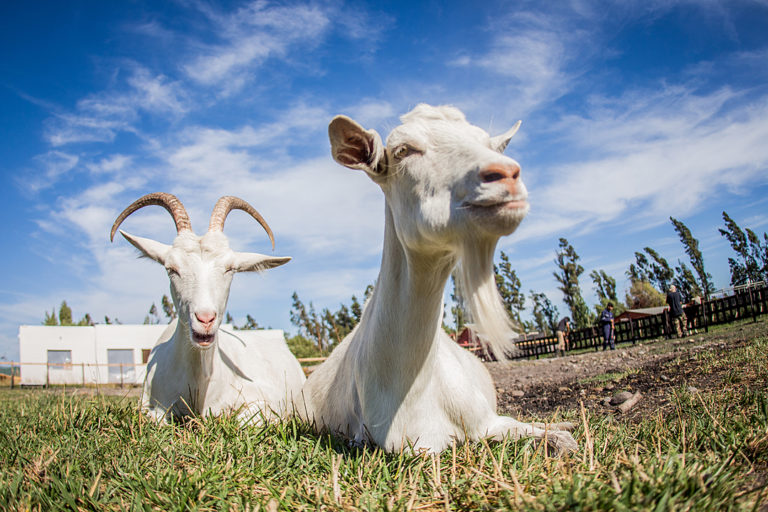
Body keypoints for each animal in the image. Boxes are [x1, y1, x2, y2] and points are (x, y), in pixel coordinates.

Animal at [300, 105, 577, 454]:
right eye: (404, 150)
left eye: (488, 142)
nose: (506, 174)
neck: (414, 394)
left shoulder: (488, 419)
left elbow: (534, 430)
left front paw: (563, 434)